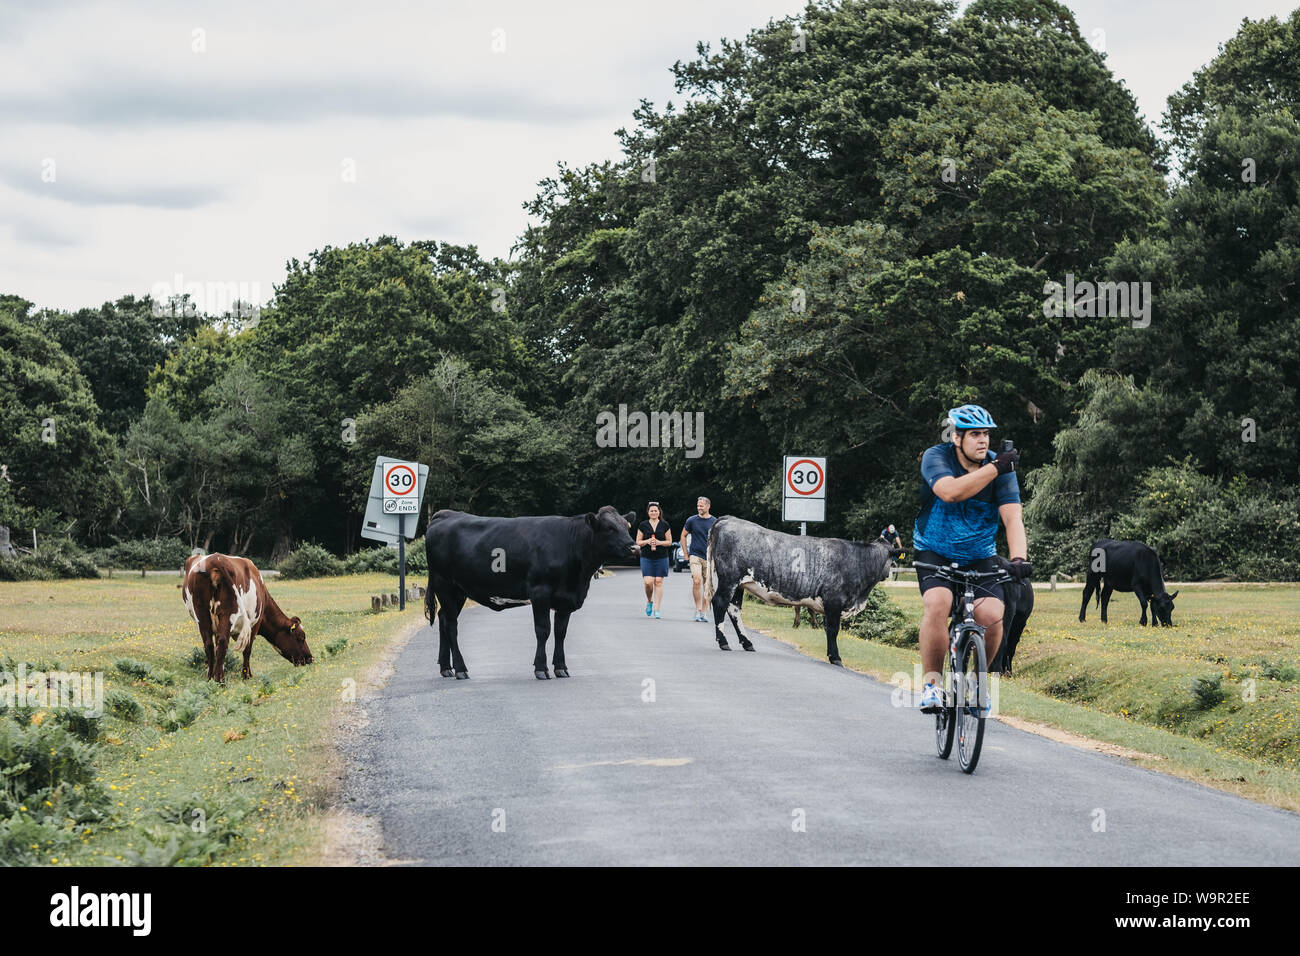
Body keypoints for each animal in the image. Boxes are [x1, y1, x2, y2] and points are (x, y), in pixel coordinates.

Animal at [182, 553, 313, 682]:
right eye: (301, 637)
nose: (310, 658)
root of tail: (216, 559)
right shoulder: (255, 623)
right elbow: (247, 649)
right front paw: (247, 675)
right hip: (228, 613)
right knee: (223, 641)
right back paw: (221, 680)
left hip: (201, 613)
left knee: (209, 644)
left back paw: (210, 678)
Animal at [424, 505, 640, 680]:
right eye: (609, 528)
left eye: (626, 526)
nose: (635, 547)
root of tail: (446, 514)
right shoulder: (540, 591)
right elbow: (543, 630)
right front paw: (541, 669)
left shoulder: (566, 598)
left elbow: (560, 632)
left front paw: (561, 667)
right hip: (444, 584)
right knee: (451, 625)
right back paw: (460, 669)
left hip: (459, 591)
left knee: (443, 619)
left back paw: (446, 668)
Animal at [705, 516, 898, 664]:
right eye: (891, 558)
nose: (891, 570)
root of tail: (729, 519)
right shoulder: (834, 602)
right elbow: (833, 630)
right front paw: (836, 658)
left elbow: (828, 629)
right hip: (729, 580)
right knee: (720, 603)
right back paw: (723, 642)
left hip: (740, 585)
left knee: (734, 610)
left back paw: (747, 643)